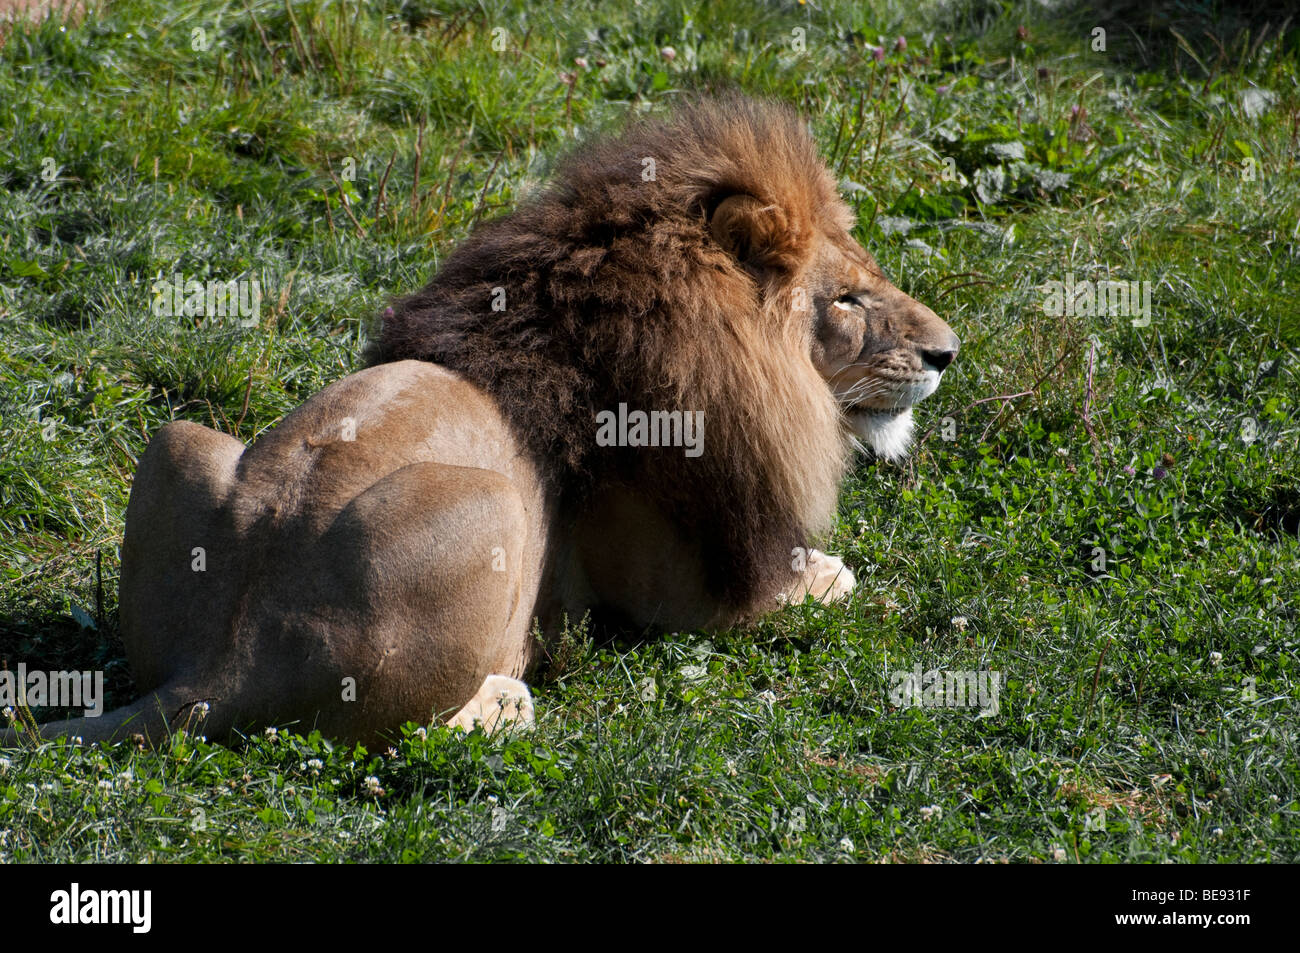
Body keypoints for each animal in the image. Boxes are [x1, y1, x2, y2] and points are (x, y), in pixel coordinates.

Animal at [2, 95, 957, 749]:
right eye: (848, 300)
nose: (948, 351)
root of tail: (228, 653)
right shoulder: (685, 590)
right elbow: (825, 583)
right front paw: (834, 568)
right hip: (492, 504)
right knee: (408, 731)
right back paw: (507, 695)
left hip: (178, 444)